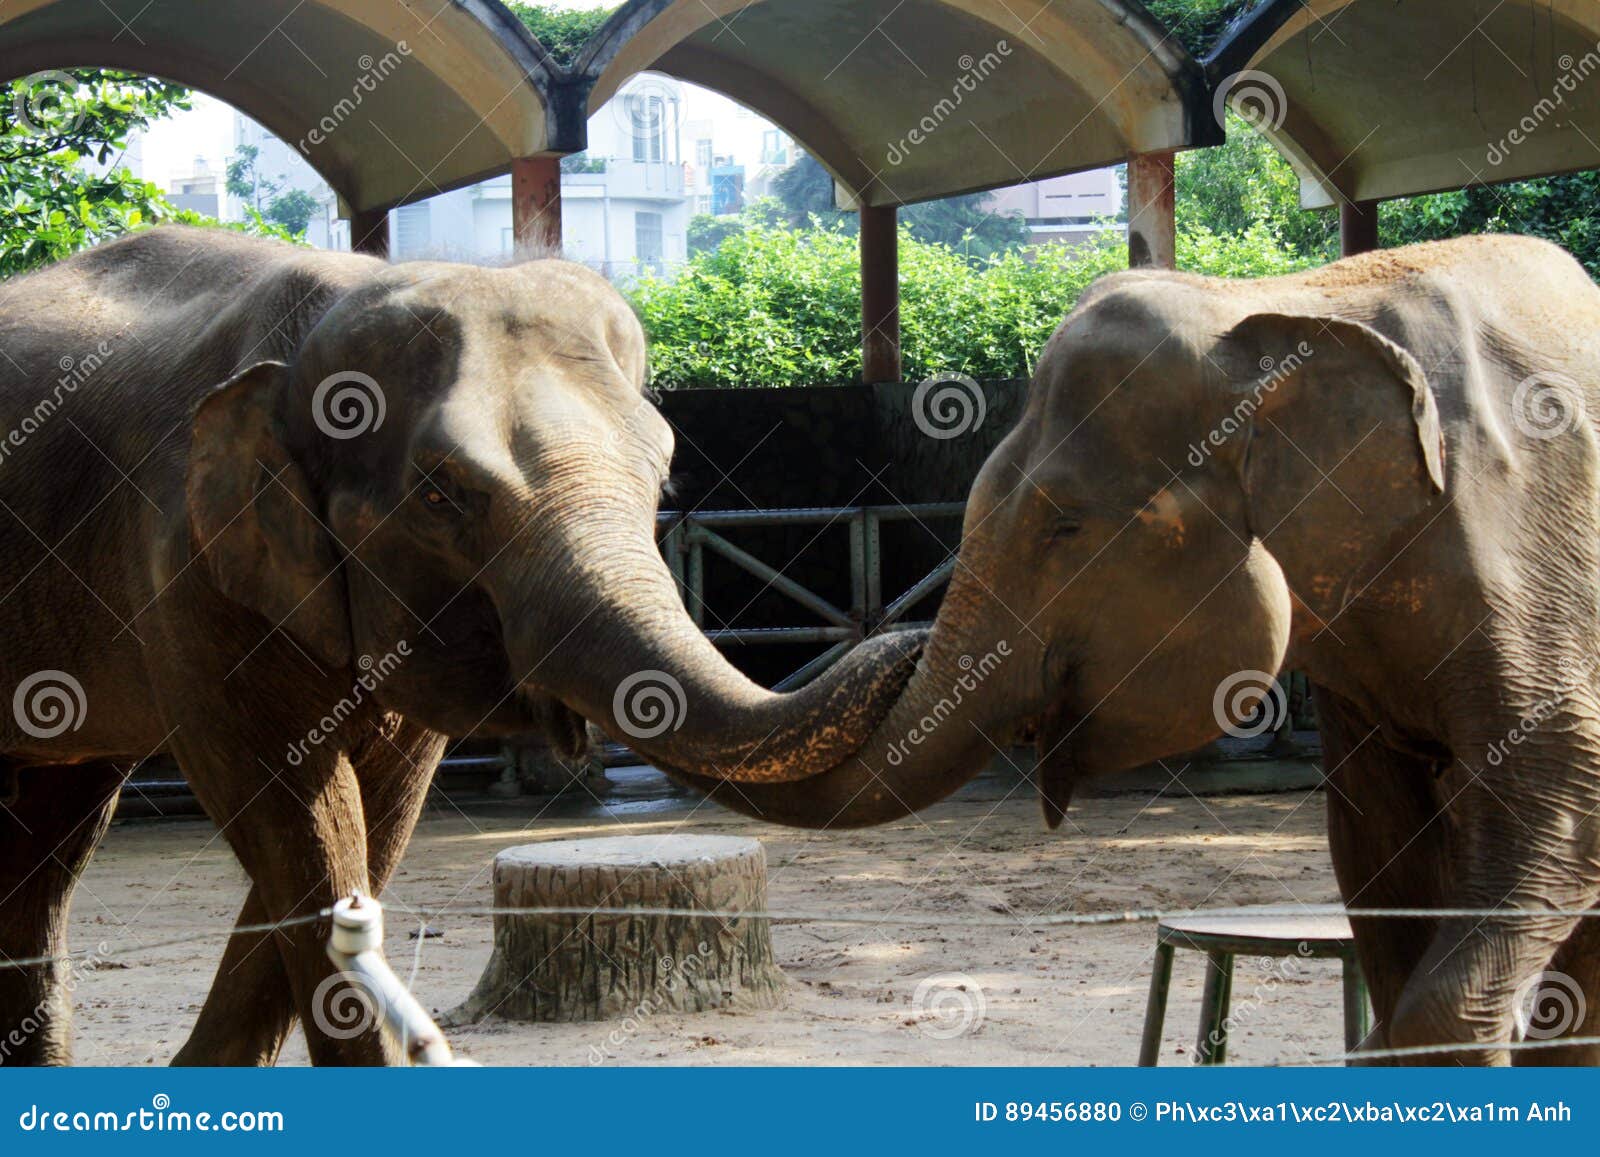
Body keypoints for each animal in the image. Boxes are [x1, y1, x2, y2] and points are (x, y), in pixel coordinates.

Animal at [0, 226, 920, 1065]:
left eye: (662, 474)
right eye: (442, 493)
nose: (910, 642)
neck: (320, 321)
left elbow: (378, 815)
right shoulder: (185, 568)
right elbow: (295, 812)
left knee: (54, 817)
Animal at [671, 234, 1600, 1065]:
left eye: (1062, 525)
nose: (896, 638)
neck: (1279, 305)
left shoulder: (1524, 545)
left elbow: (1563, 785)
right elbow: (1378, 842)